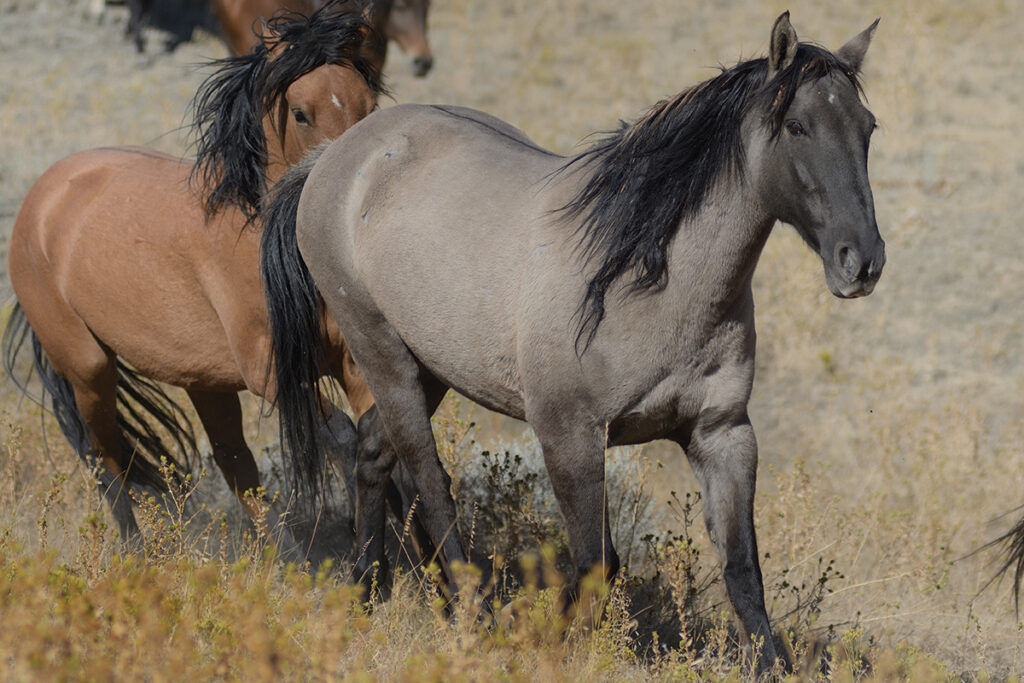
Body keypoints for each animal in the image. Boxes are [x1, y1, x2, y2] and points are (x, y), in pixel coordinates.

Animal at [2, 2, 383, 561]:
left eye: (369, 104)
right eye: (301, 112)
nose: (346, 193)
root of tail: (42, 196)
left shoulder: (352, 365)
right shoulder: (270, 371)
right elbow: (343, 440)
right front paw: (369, 560)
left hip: (204, 382)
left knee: (235, 466)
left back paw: (289, 562)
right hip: (88, 368)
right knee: (106, 458)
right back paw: (137, 555)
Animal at [261, 12, 884, 668]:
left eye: (866, 128)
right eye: (796, 125)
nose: (862, 262)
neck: (645, 279)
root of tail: (336, 157)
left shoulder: (722, 435)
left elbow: (742, 570)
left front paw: (770, 665)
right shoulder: (570, 435)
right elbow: (596, 563)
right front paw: (542, 638)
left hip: (427, 369)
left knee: (373, 453)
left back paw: (364, 594)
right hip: (383, 354)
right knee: (430, 485)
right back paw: (474, 619)